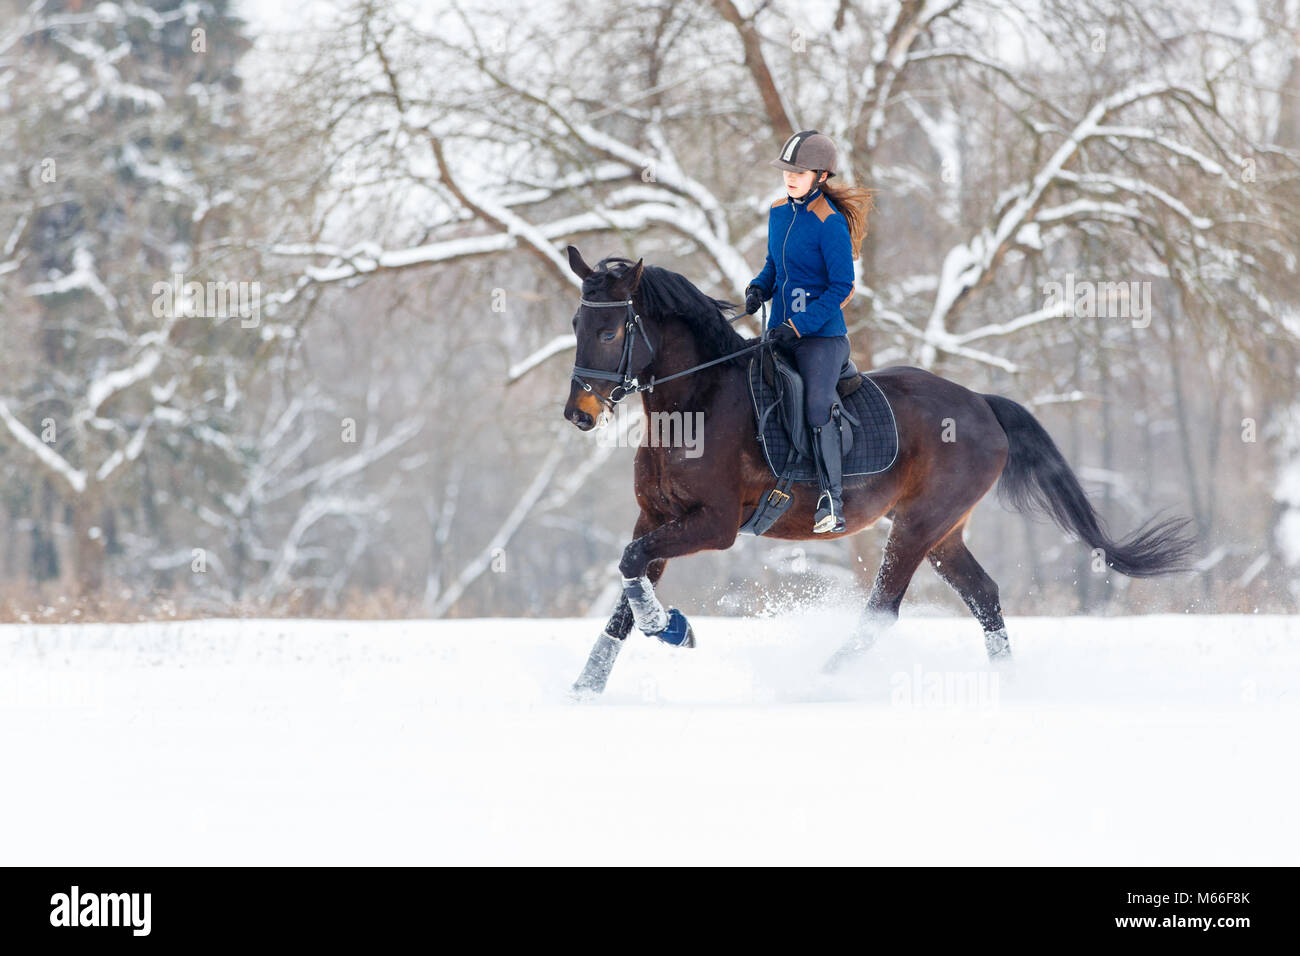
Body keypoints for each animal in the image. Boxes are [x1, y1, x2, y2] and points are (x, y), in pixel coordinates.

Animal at [561, 246, 1196, 696]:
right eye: (575, 324)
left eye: (611, 331)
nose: (579, 414)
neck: (697, 403)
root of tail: (982, 404)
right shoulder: (655, 518)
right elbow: (626, 587)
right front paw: (587, 687)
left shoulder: (713, 525)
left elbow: (631, 570)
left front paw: (672, 628)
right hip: (942, 533)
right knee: (985, 597)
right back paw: (1006, 686)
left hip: (916, 526)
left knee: (883, 610)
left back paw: (819, 681)